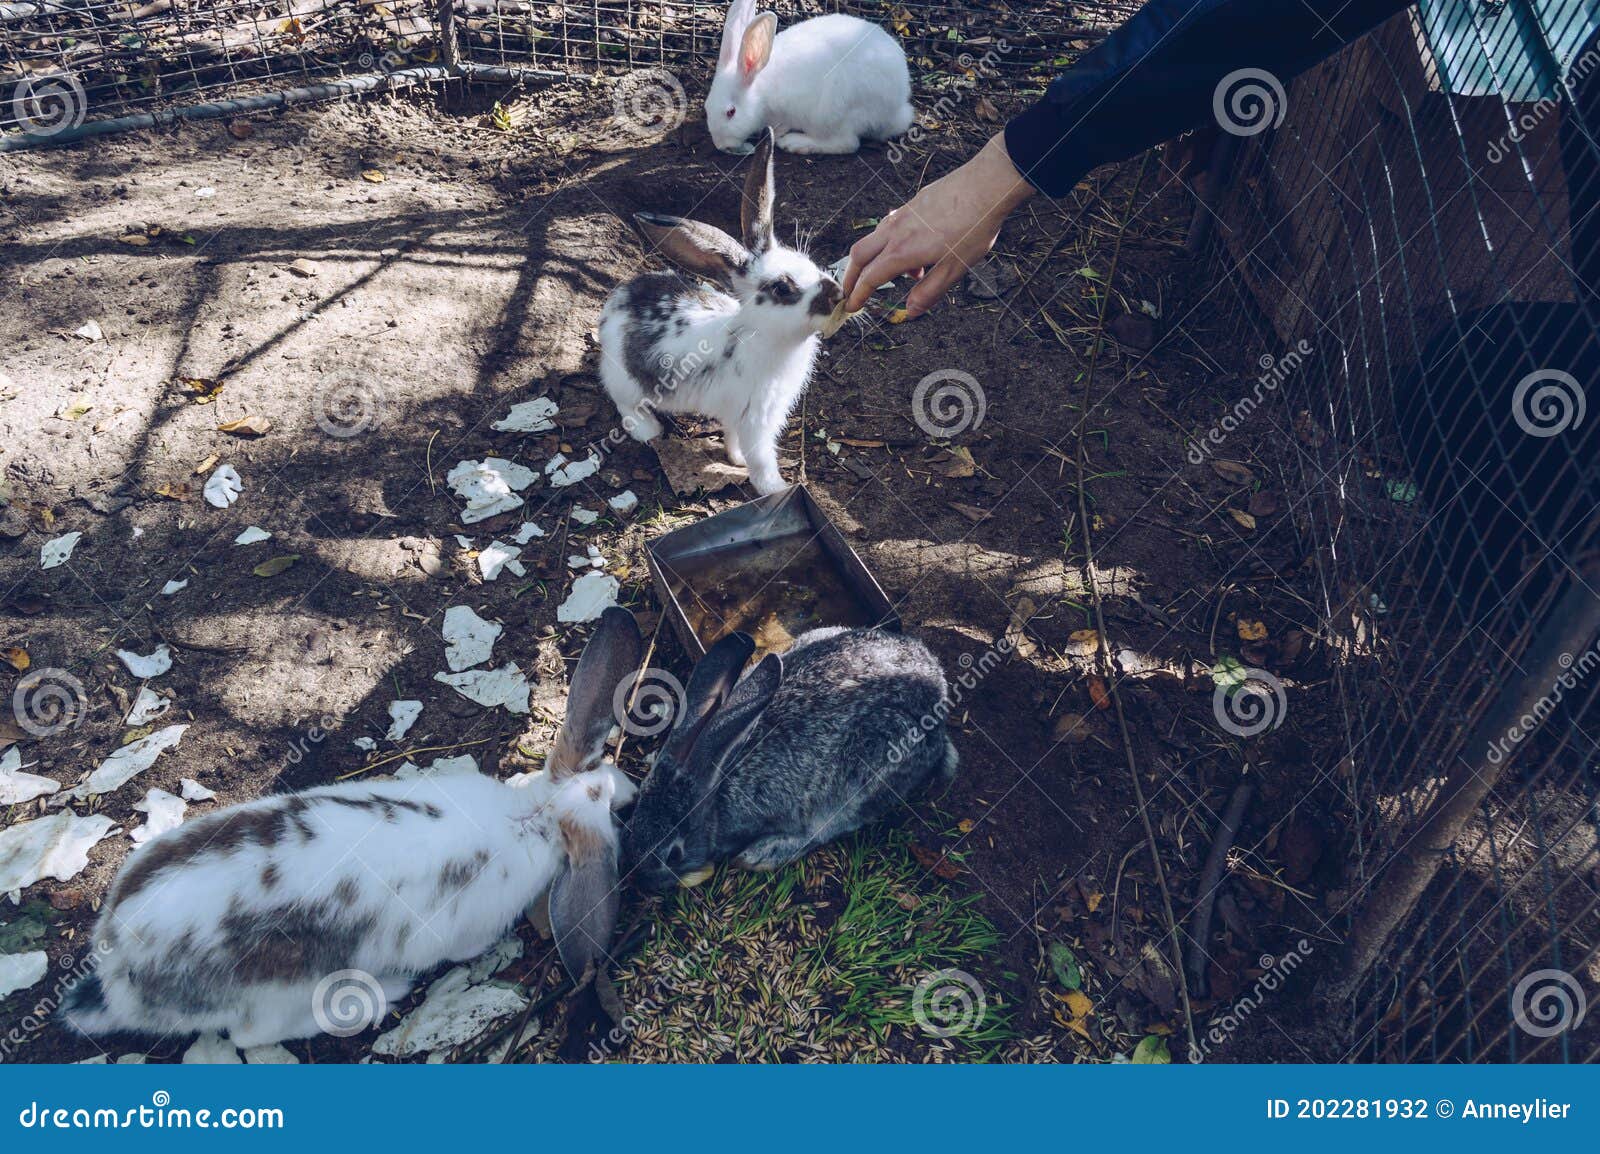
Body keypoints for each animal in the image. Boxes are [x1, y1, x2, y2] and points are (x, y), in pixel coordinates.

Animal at [60, 608, 645, 1049]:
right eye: (615, 811)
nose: (635, 792)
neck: (535, 815)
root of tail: (117, 975)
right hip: (275, 995)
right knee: (253, 1036)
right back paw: (384, 993)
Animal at [597, 128, 841, 496]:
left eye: (809, 263)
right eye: (782, 289)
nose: (838, 293)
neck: (760, 337)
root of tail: (616, 303)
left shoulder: (740, 416)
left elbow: (733, 440)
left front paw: (735, 461)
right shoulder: (757, 420)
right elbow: (761, 459)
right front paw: (776, 488)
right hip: (626, 380)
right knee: (623, 402)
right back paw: (649, 430)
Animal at [625, 625, 958, 892]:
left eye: (674, 854)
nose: (643, 881)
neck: (716, 787)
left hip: (869, 766)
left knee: (834, 824)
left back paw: (762, 854)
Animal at [706, 2, 914, 155]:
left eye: (731, 112)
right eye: (706, 107)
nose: (720, 145)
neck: (760, 90)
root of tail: (898, 108)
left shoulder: (786, 111)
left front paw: (778, 134)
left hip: (836, 113)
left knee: (848, 143)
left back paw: (794, 143)